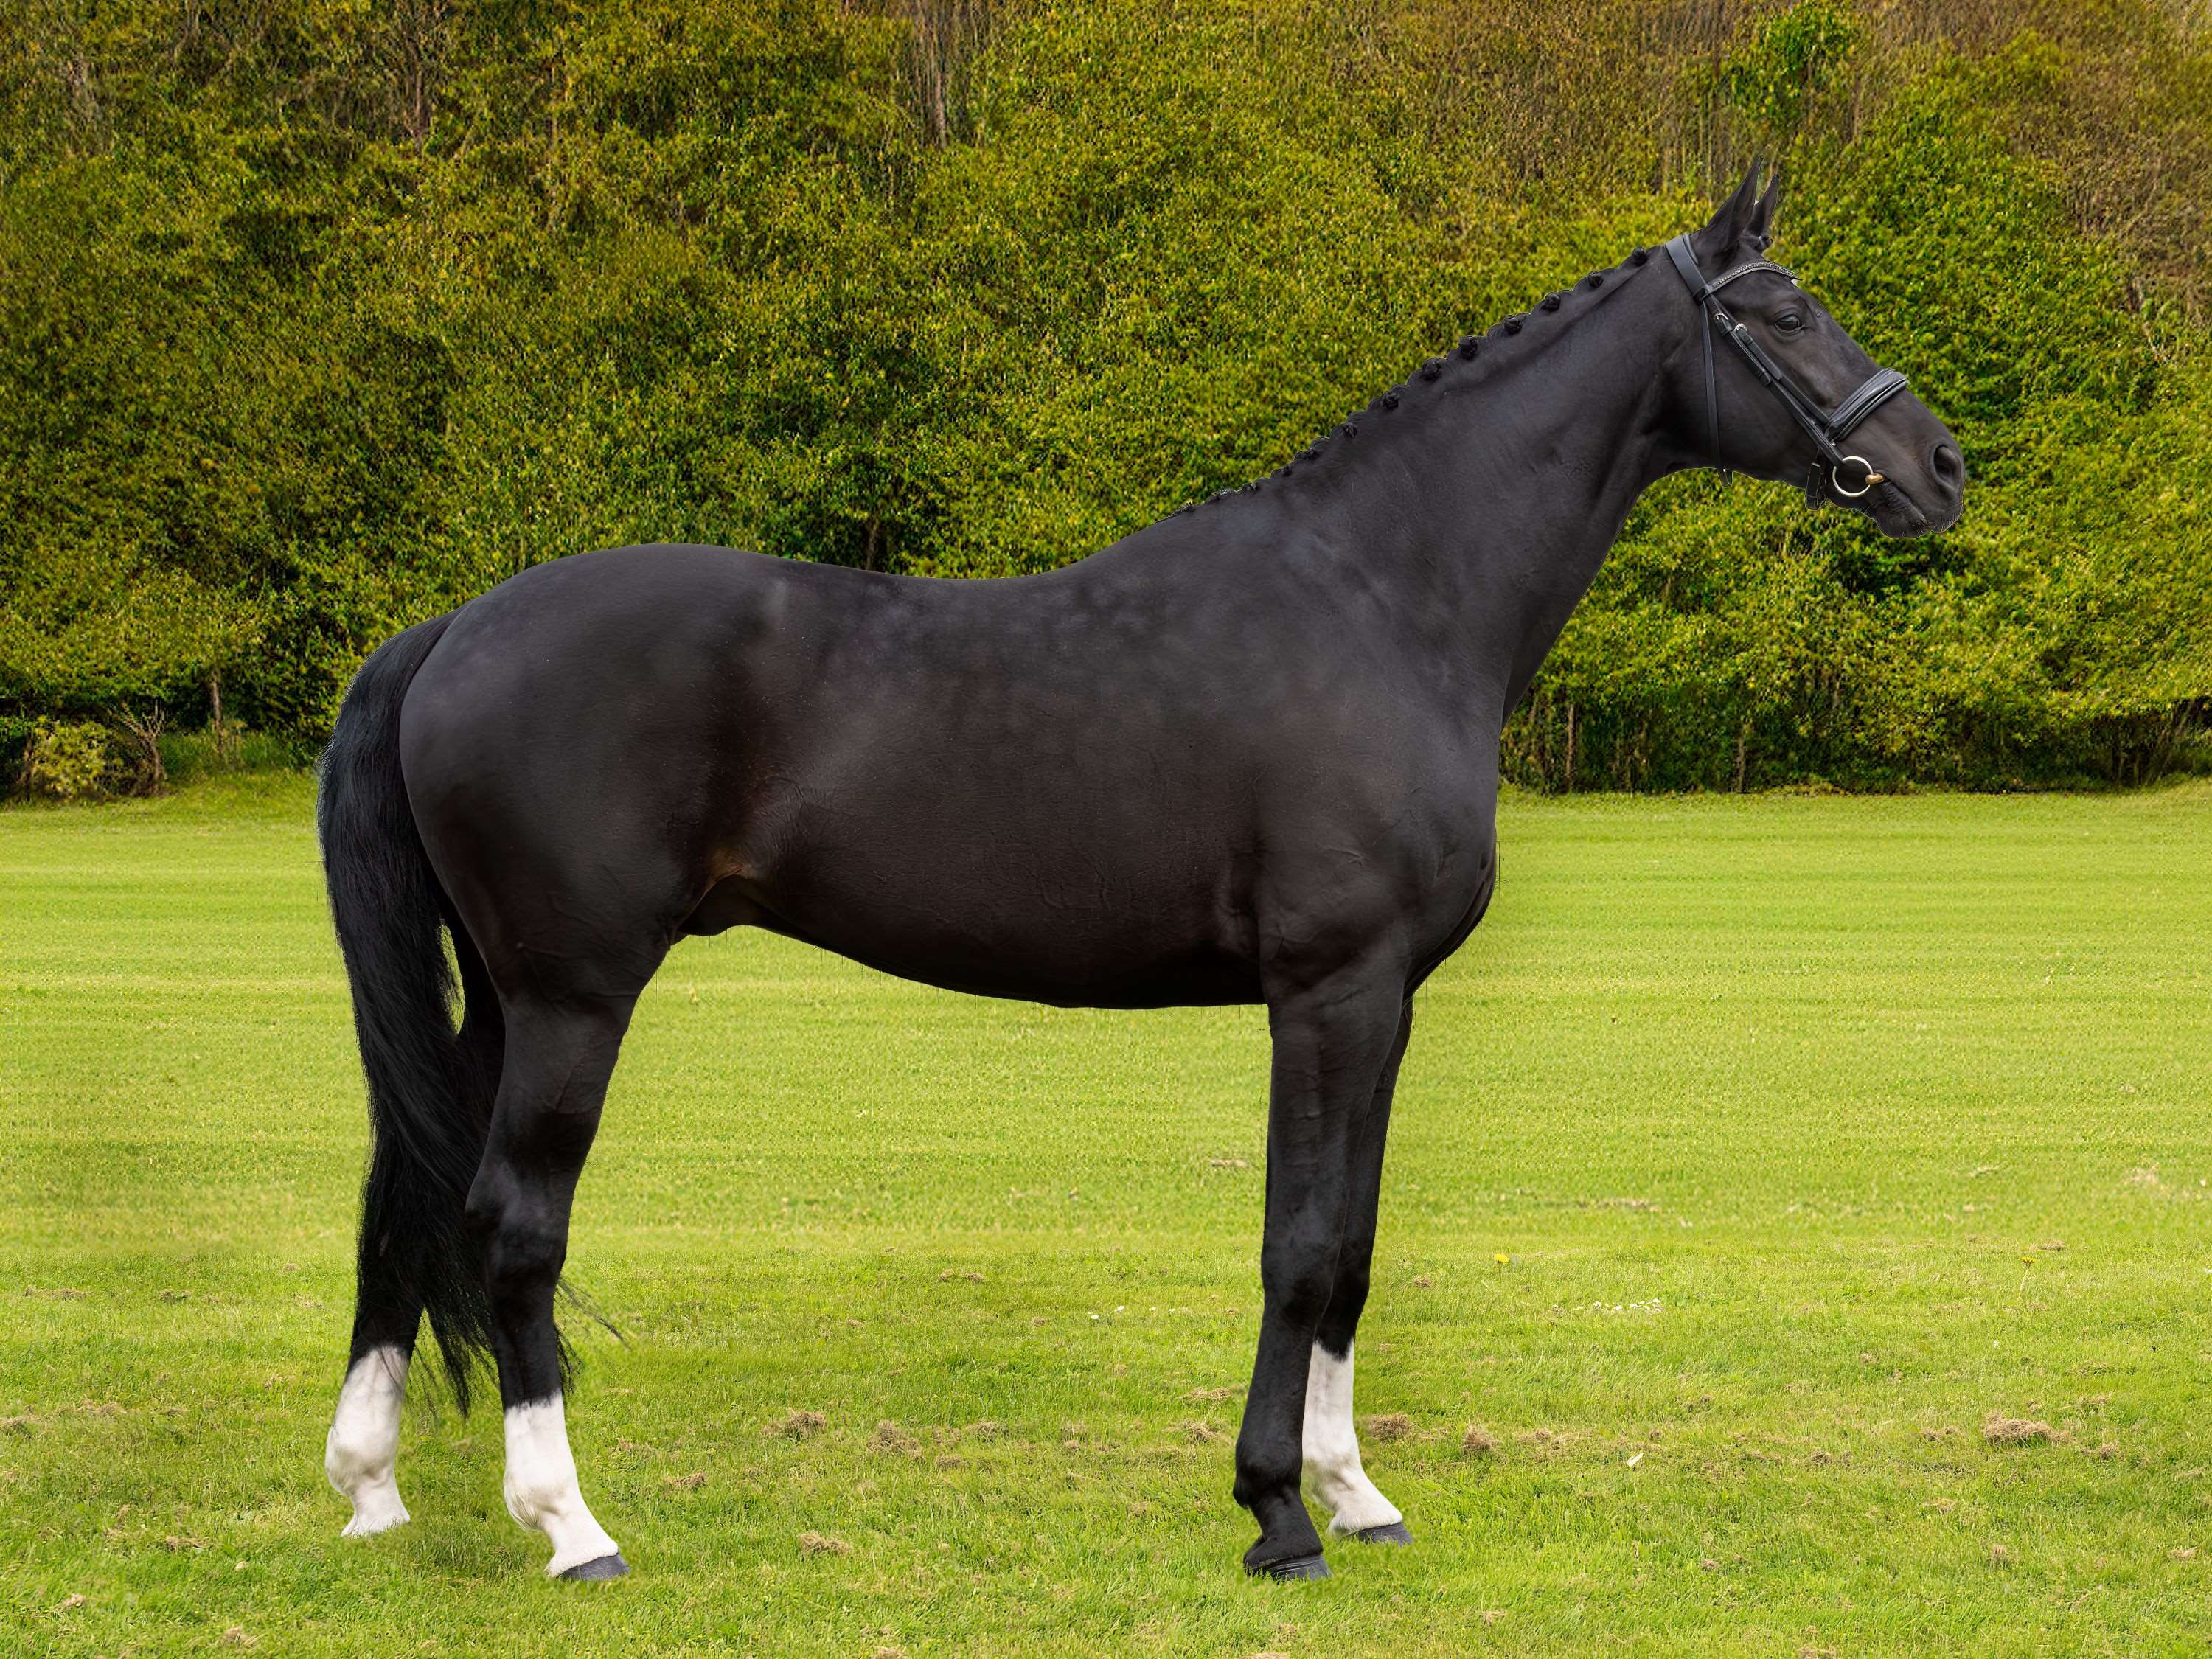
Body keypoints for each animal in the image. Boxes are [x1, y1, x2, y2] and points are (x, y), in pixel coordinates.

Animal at [317, 165, 1963, 1583]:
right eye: (1786, 312)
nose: (1939, 468)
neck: (1386, 599)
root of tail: (450, 630)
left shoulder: (1388, 1005)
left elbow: (1354, 1247)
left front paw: (1355, 1493)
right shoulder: (1328, 991)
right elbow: (1300, 1247)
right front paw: (1277, 1512)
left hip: (495, 1002)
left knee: (407, 1195)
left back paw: (375, 1490)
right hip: (573, 998)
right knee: (511, 1226)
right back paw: (570, 1526)